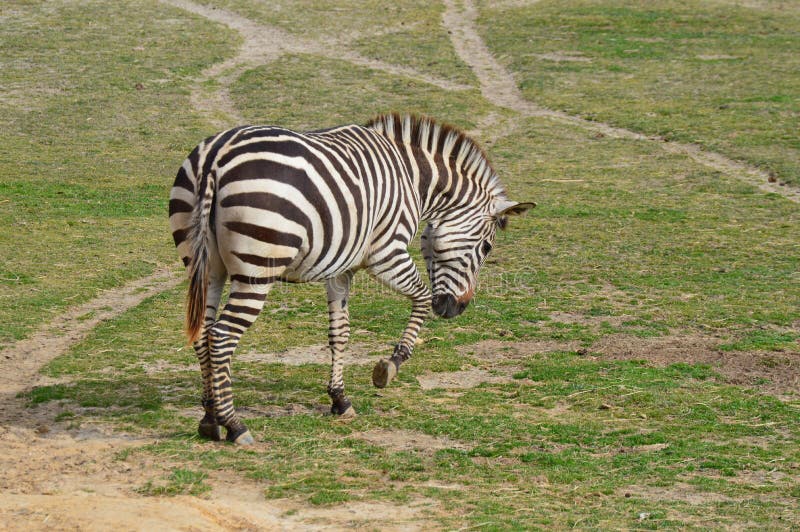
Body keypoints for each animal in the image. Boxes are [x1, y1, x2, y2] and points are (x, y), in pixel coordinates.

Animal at [168, 113, 534, 445]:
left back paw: (209, 418)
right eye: (486, 247)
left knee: (203, 334)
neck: (414, 180)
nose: (458, 309)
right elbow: (420, 298)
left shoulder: (340, 269)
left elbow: (339, 333)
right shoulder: (386, 253)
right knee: (222, 337)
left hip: (206, 267)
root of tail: (216, 156)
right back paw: (234, 424)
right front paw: (390, 366)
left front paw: (340, 399)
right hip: (256, 270)